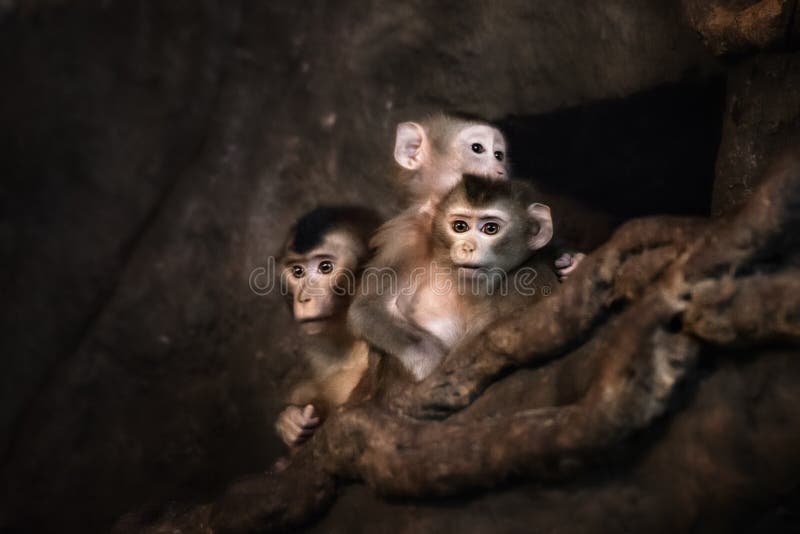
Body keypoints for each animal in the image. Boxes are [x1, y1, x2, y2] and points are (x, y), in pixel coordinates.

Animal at [349, 174, 559, 381]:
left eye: (491, 228)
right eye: (460, 226)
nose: (466, 247)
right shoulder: (408, 238)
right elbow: (368, 308)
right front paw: (431, 363)